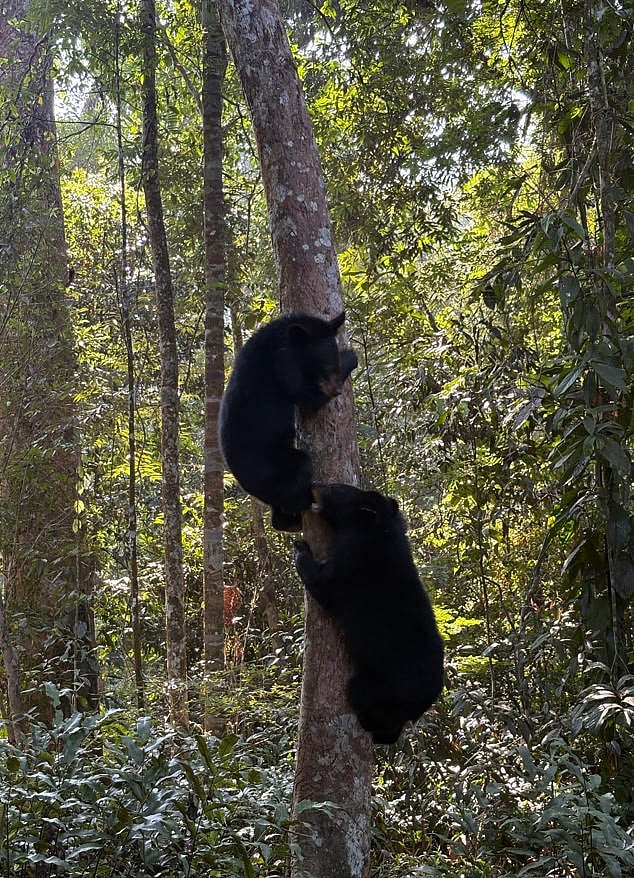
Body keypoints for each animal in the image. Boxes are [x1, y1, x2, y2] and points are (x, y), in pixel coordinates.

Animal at [219, 312, 358, 531]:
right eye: (325, 367)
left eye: (333, 366)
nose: (336, 391)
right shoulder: (285, 367)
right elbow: (309, 399)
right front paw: (351, 355)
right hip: (275, 466)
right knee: (302, 468)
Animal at [293, 483, 444, 744]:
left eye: (335, 489)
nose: (314, 485)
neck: (380, 531)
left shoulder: (352, 564)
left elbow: (324, 585)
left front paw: (301, 550)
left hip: (382, 687)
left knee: (363, 698)